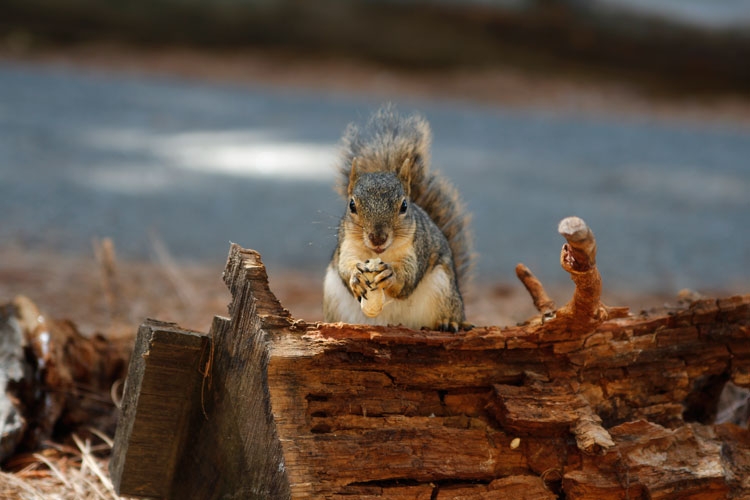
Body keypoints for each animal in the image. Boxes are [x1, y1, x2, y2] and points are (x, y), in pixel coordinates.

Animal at [323, 104, 473, 332]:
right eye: (352, 205)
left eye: (404, 206)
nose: (378, 238)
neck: (379, 254)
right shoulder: (347, 245)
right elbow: (345, 265)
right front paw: (356, 276)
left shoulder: (416, 250)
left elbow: (408, 276)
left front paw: (391, 275)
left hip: (444, 288)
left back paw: (449, 322)